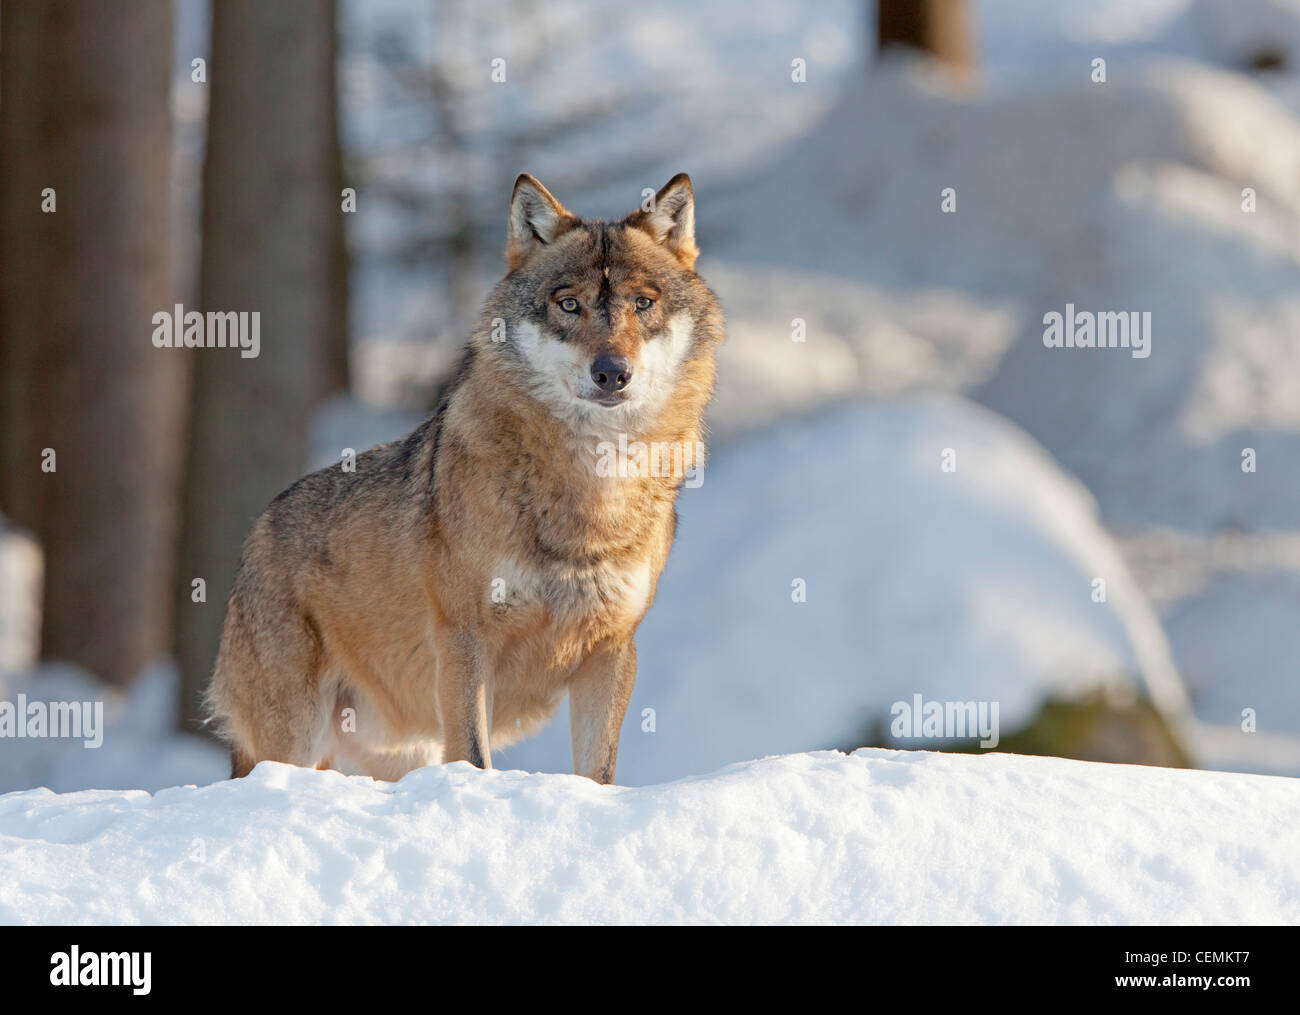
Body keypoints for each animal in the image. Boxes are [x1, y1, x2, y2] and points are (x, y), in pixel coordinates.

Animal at [208, 173, 723, 785]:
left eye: (643, 303)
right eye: (568, 304)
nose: (612, 373)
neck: (590, 492)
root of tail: (253, 537)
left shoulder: (614, 648)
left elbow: (597, 774)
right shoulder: (464, 639)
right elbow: (475, 756)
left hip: (395, 752)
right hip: (297, 738)